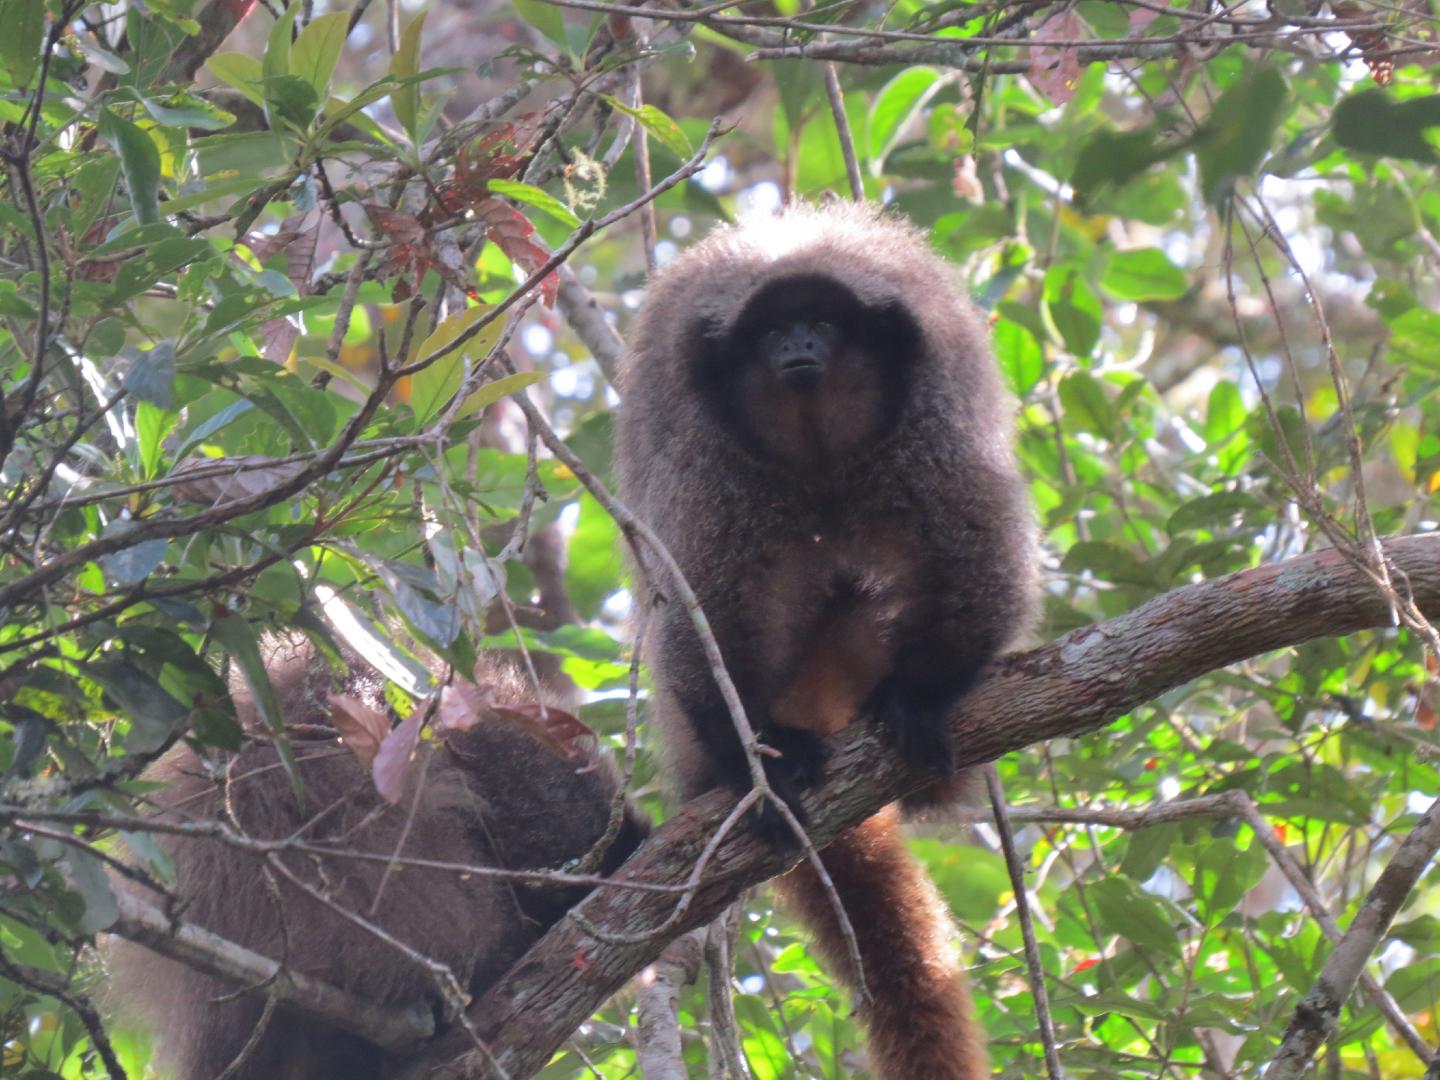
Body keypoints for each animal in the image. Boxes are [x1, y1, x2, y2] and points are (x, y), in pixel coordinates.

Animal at [616, 204, 1036, 1080]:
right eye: (775, 330)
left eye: (823, 324)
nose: (797, 345)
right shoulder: (712, 458)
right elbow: (700, 605)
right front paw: (763, 762)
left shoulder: (929, 418)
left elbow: (979, 550)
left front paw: (920, 699)